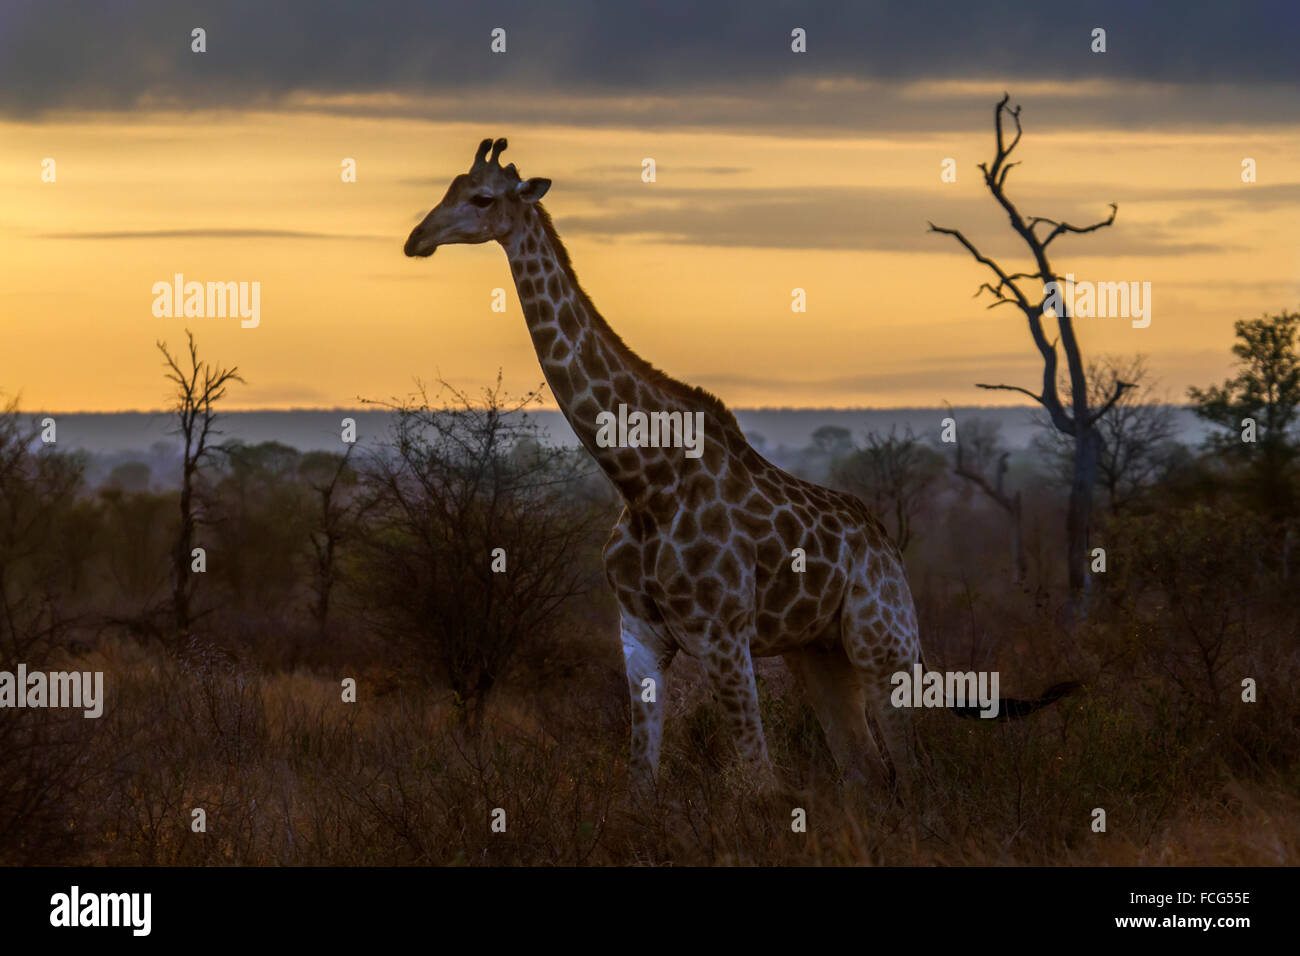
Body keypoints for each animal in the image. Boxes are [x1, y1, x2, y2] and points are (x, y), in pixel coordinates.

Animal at [404, 139, 1076, 796]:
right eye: (449, 187)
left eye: (483, 198)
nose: (417, 239)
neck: (644, 481)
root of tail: (891, 549)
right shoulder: (639, 637)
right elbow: (640, 786)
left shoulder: (723, 637)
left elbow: (759, 783)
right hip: (819, 653)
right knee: (864, 770)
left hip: (883, 646)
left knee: (913, 776)